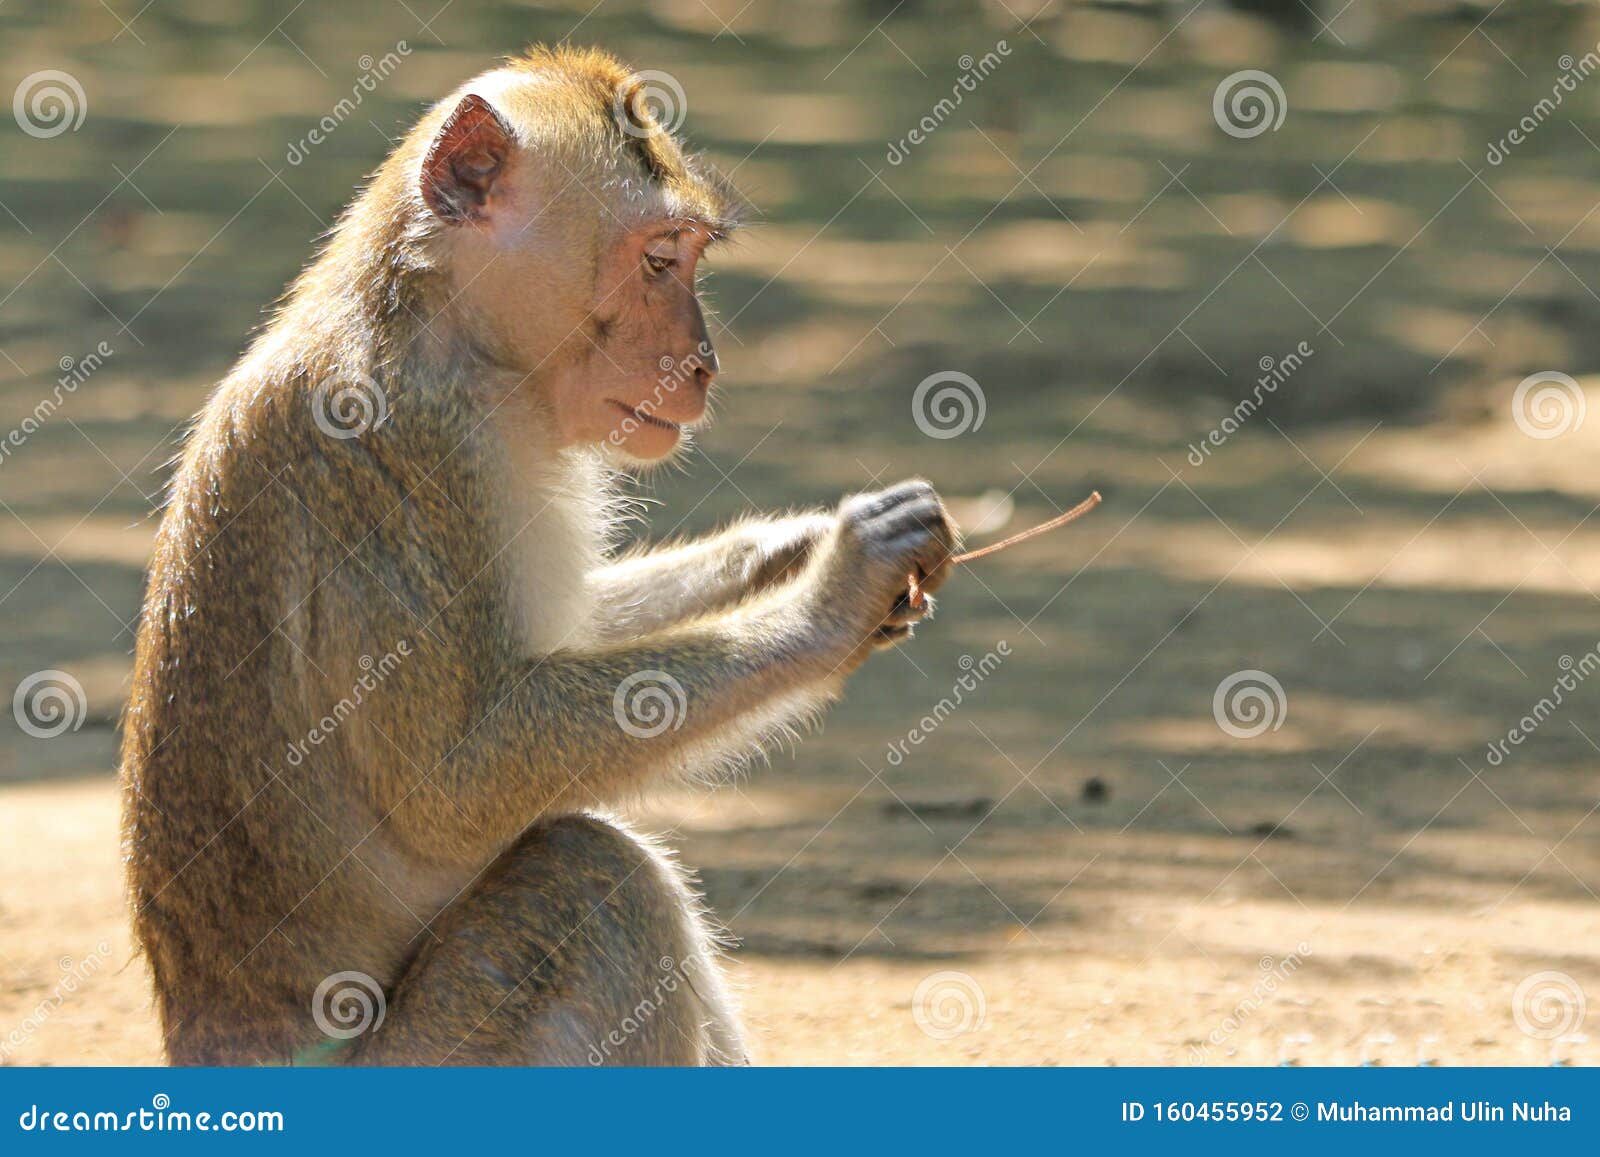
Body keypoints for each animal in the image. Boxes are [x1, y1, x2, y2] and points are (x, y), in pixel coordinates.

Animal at [119, 45, 959, 1067]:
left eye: (691, 256)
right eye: (657, 259)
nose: (704, 363)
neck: (448, 333)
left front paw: (784, 549)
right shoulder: (400, 452)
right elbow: (451, 783)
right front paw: (830, 598)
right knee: (590, 879)